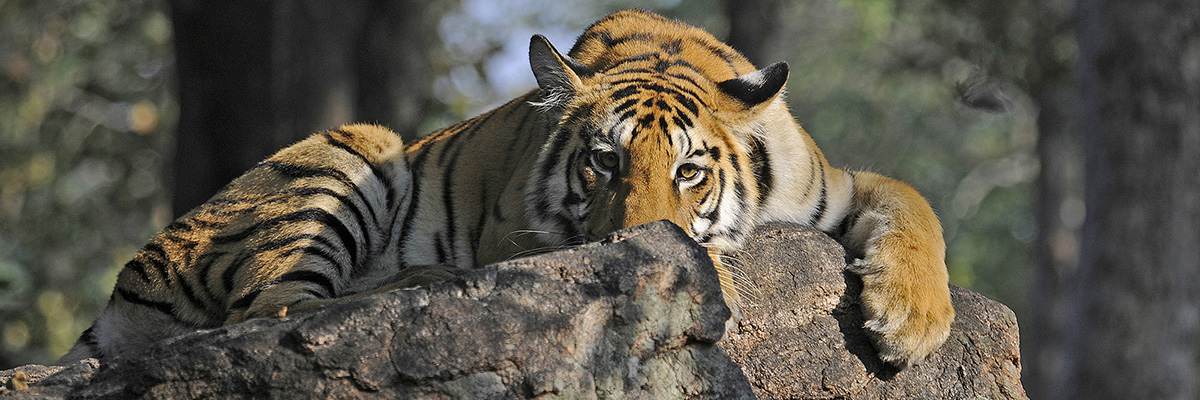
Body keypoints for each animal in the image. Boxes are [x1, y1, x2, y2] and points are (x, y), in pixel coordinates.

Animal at [61, 9, 953, 368]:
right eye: (603, 162)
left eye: (689, 171)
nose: (630, 239)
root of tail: (126, 284)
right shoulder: (510, 227)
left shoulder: (838, 182)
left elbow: (917, 203)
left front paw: (910, 323)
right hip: (354, 150)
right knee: (272, 311)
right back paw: (424, 279)